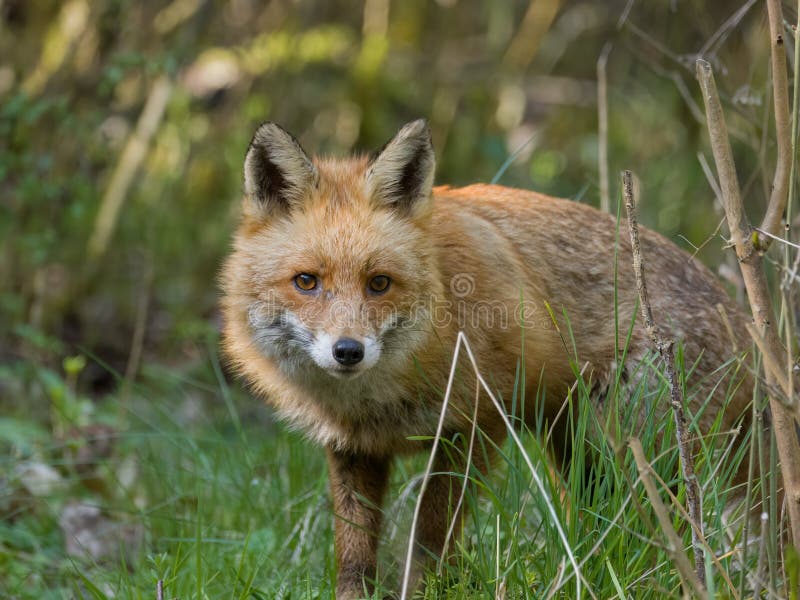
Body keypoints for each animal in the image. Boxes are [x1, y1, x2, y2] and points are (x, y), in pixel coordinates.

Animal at [220, 119, 753, 598]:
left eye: (380, 283)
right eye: (306, 281)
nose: (348, 351)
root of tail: (743, 318)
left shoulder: (474, 425)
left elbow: (430, 537)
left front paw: (423, 593)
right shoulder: (354, 448)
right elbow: (354, 550)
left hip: (627, 448)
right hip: (579, 454)